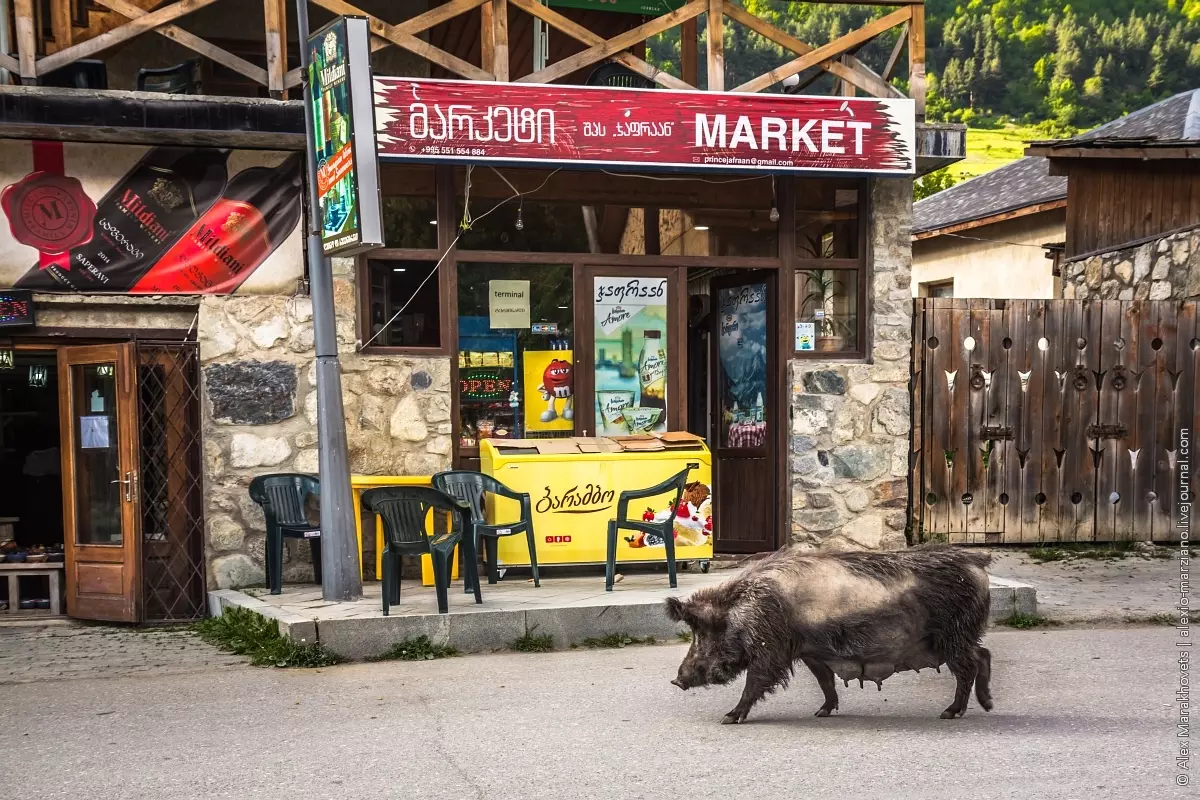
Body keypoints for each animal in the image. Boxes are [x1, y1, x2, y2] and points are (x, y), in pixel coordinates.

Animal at [667, 544, 993, 724]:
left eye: (704, 632)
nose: (677, 680)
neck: (747, 606)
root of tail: (977, 564)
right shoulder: (810, 651)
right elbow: (825, 680)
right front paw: (822, 712)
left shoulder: (771, 647)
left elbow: (755, 682)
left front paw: (727, 718)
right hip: (955, 638)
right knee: (983, 655)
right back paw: (985, 705)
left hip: (954, 635)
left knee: (970, 666)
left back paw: (951, 713)